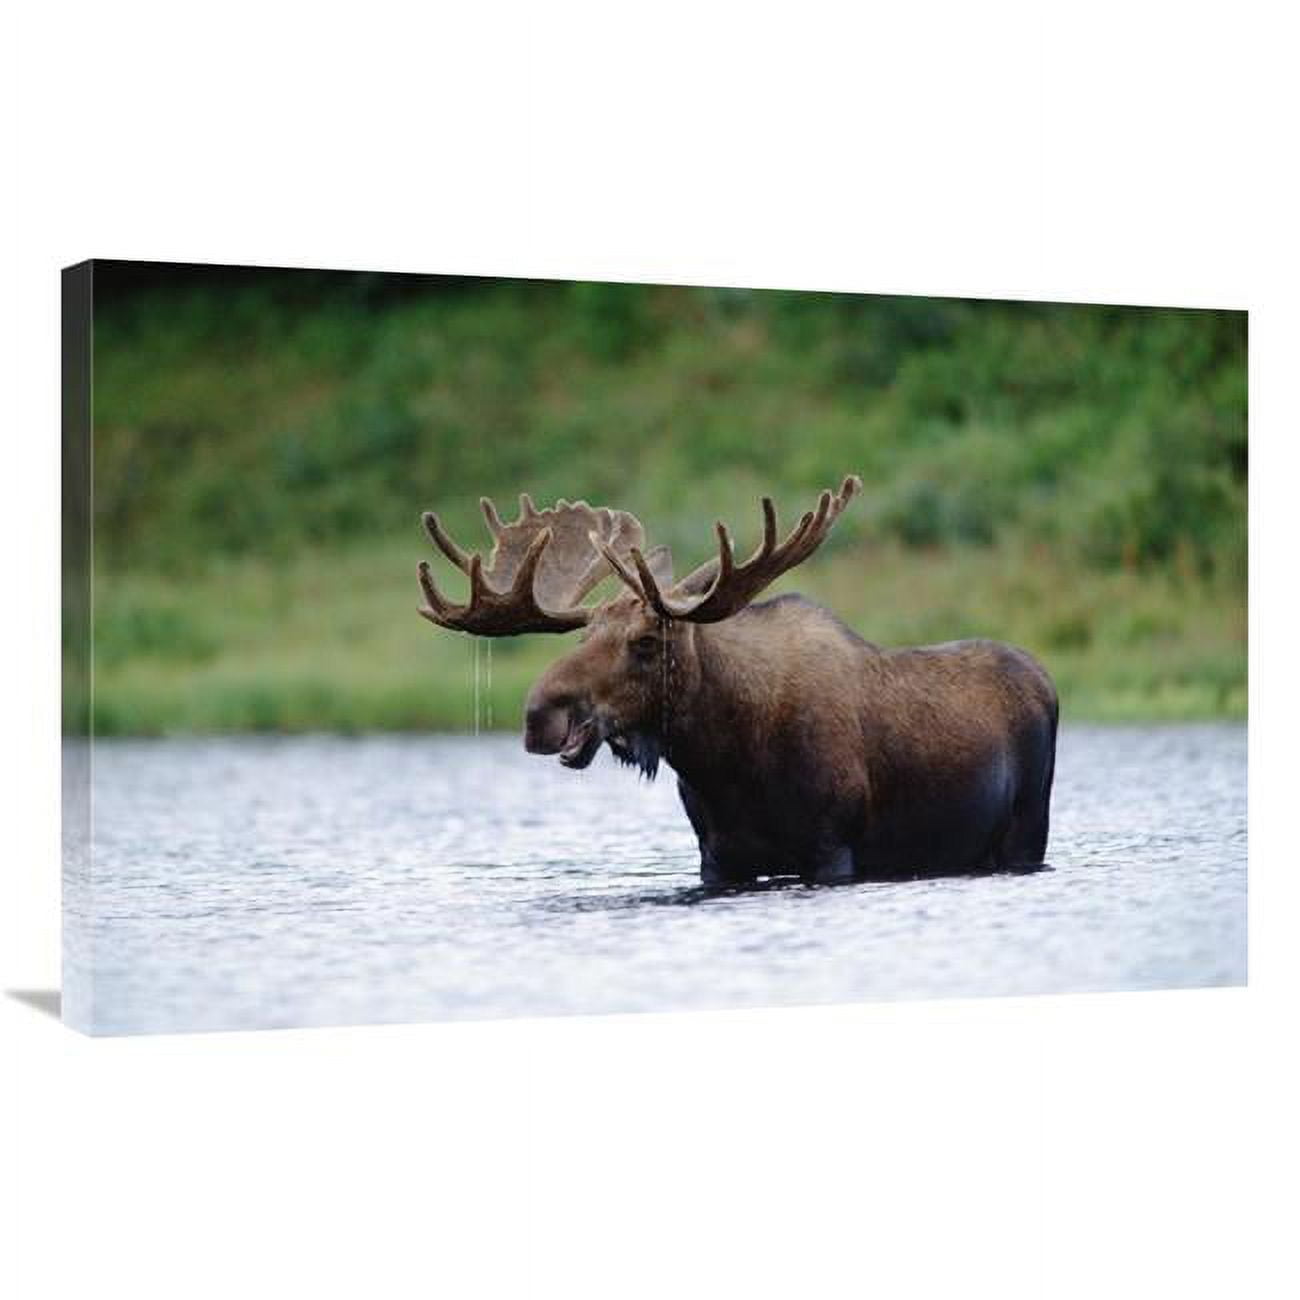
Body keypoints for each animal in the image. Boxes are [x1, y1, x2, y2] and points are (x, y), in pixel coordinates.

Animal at [415, 478, 1058, 886]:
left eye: (647, 641)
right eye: (582, 636)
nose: (540, 715)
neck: (726, 760)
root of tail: (1045, 678)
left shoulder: (834, 846)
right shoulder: (719, 856)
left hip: (1028, 828)